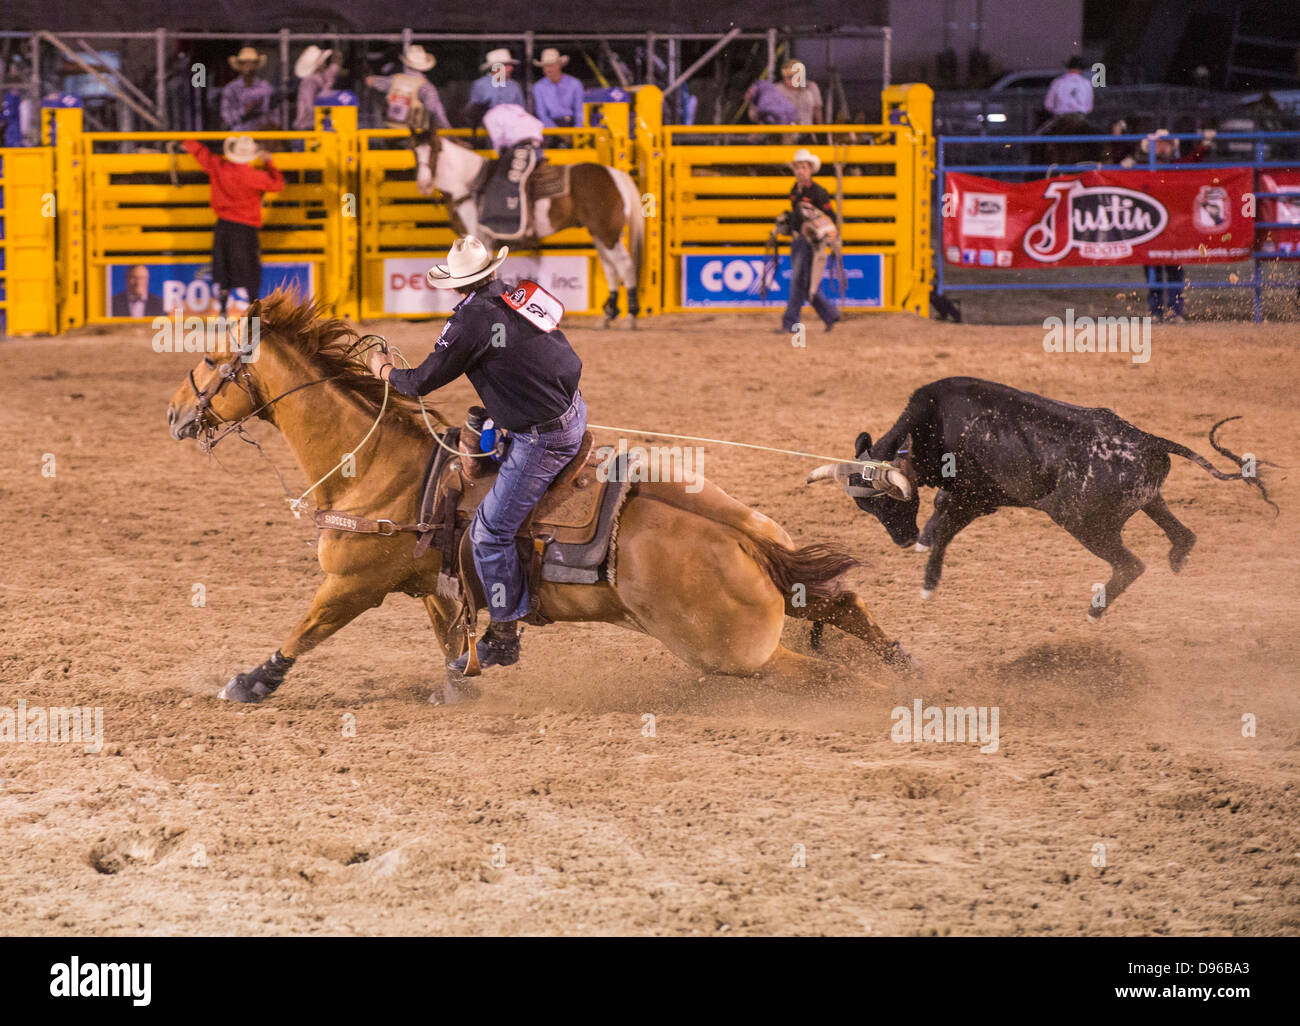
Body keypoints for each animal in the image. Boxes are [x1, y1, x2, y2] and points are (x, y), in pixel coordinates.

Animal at [807, 377, 1276, 622]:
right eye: (865, 506)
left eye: (887, 501)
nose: (901, 540)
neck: (931, 425)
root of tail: (1149, 440)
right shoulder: (981, 498)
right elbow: (946, 528)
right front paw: (928, 581)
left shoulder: (973, 492)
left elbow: (941, 518)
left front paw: (924, 545)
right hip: (1146, 499)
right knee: (1179, 532)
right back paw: (1178, 557)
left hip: (1080, 520)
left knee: (1131, 564)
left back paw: (1095, 610)